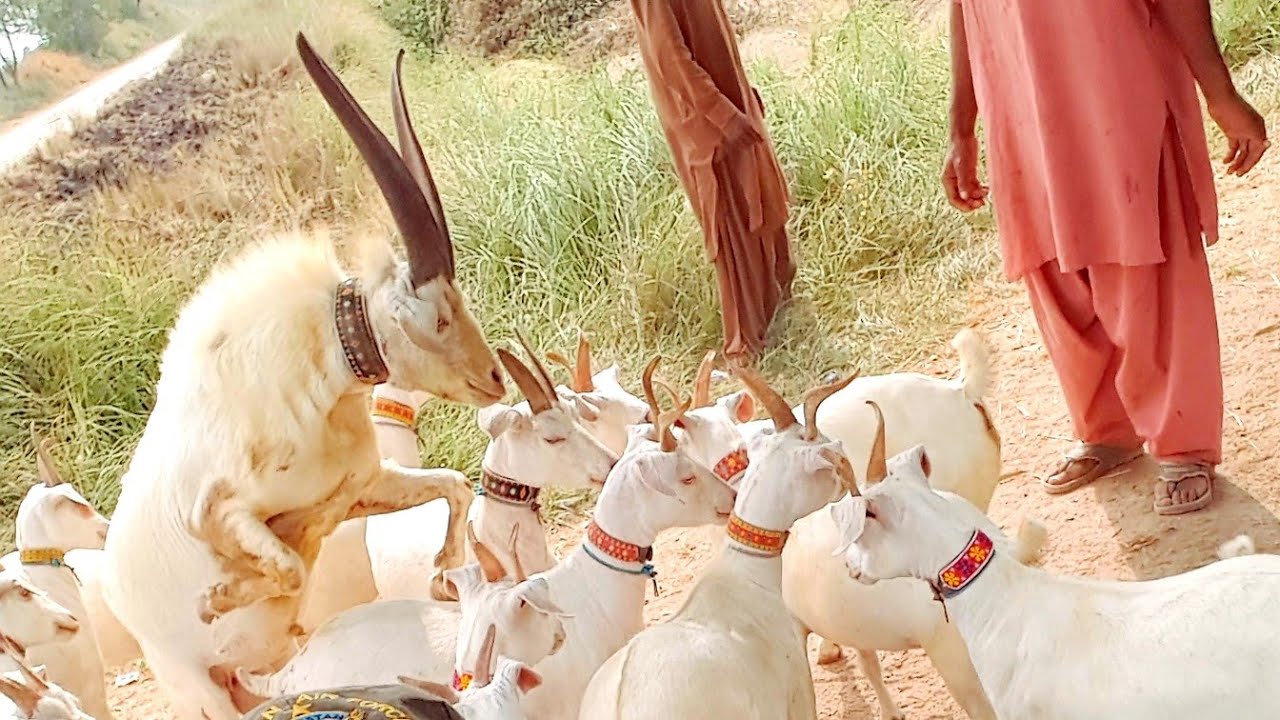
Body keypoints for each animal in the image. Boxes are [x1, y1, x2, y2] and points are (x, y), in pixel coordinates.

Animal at [99, 37, 507, 720]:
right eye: (440, 317)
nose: (496, 379)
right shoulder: (222, 511)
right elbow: (288, 564)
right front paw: (217, 599)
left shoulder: (360, 488)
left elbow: (452, 485)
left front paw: (442, 572)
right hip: (199, 689)